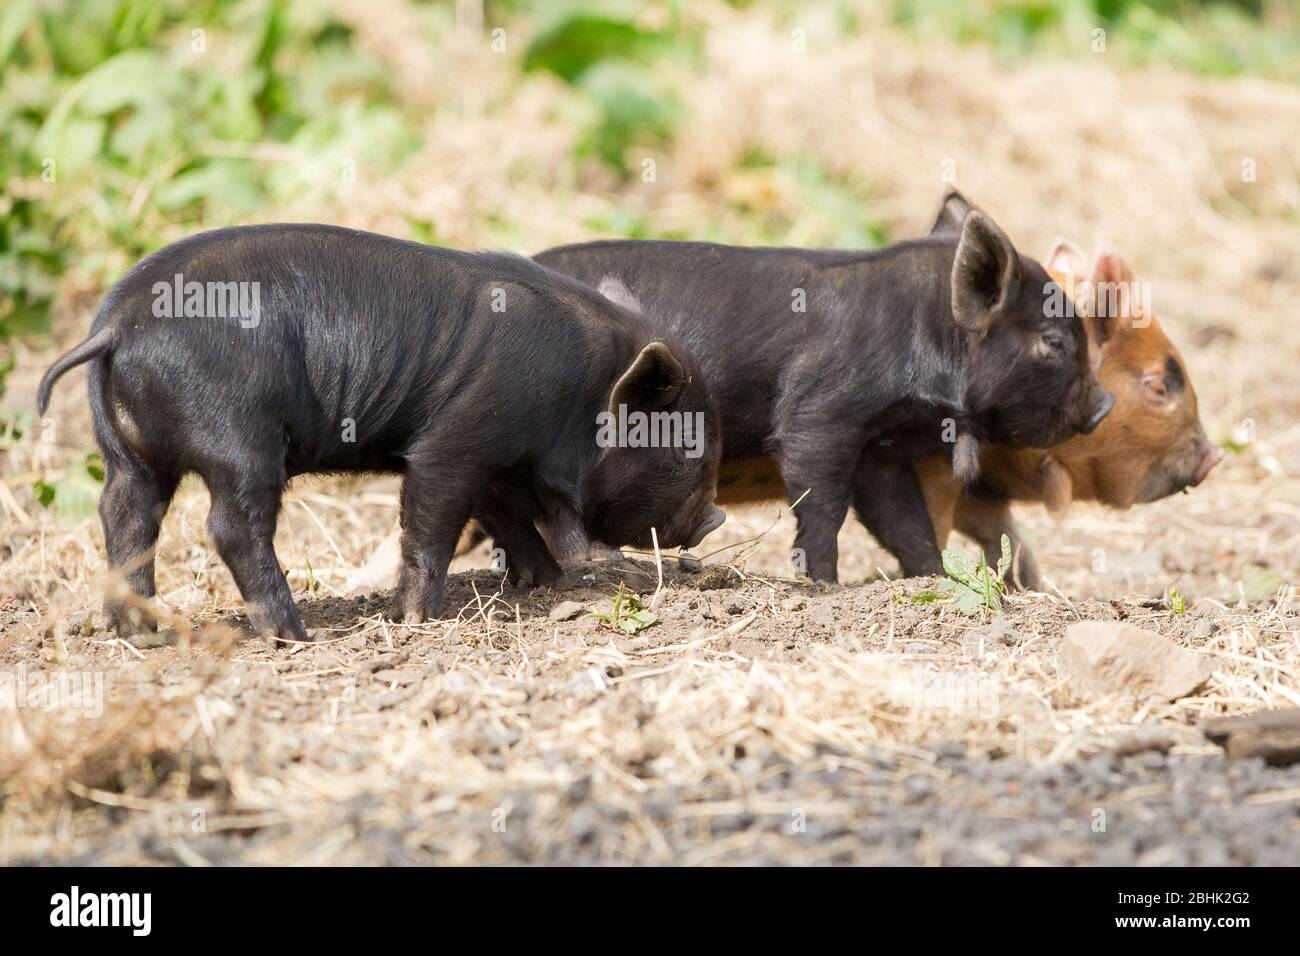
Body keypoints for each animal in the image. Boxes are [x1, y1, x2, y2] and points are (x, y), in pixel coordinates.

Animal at [37, 224, 724, 643]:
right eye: (689, 454)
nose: (715, 519)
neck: (582, 388)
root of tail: (117, 326)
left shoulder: (500, 458)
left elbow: (507, 516)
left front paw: (547, 582)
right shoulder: (458, 437)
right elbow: (433, 519)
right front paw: (416, 619)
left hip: (126, 451)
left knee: (124, 512)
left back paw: (139, 632)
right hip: (237, 437)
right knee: (231, 525)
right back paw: (296, 636)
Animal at [532, 204, 1115, 581]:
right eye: (1054, 341)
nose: (1105, 403)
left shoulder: (880, 451)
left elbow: (904, 520)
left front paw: (933, 580)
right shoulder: (820, 417)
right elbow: (823, 505)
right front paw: (822, 584)